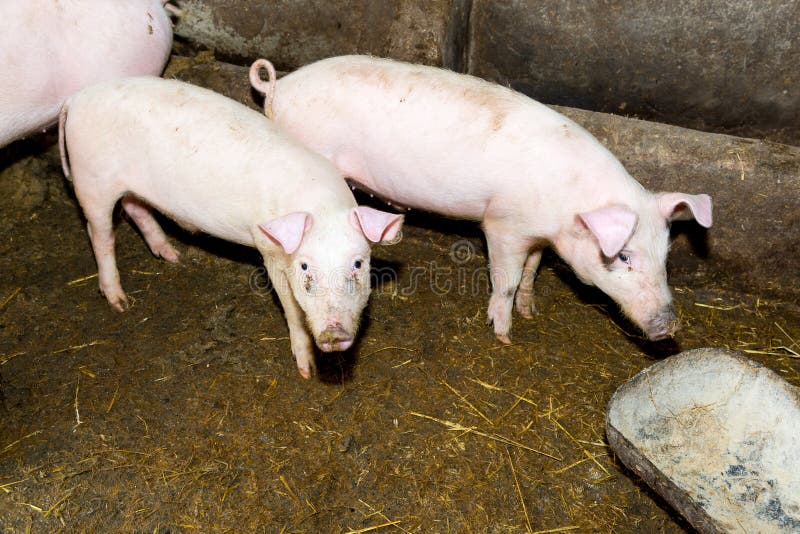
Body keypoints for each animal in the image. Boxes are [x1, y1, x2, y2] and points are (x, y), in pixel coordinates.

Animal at [58, 75, 403, 378]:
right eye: (305, 266)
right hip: (92, 181)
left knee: (136, 208)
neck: (321, 206)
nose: (334, 333)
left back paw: (172, 257)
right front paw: (307, 372)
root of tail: (75, 100)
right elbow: (291, 310)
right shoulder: (269, 249)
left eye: (358, 263)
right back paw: (120, 303)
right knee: (99, 233)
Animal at [250, 55, 713, 343]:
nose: (669, 326)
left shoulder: (537, 234)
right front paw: (504, 334)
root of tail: (278, 87)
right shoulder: (503, 225)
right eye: (623, 257)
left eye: (666, 257)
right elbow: (505, 279)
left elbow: (532, 270)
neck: (563, 206)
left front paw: (530, 311)